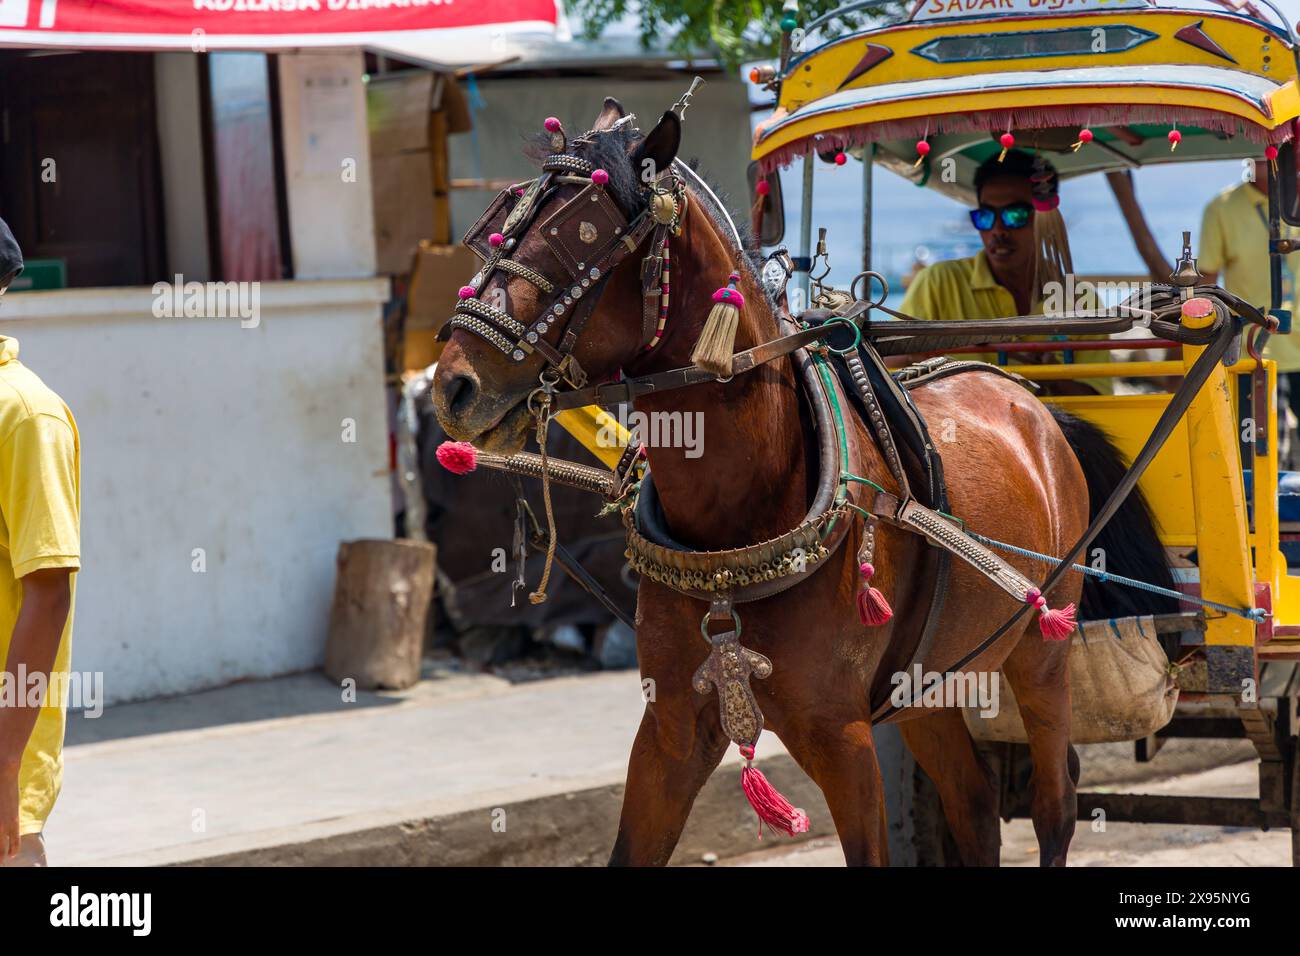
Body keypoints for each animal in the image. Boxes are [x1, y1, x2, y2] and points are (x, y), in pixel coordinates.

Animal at [432, 96, 1172, 866]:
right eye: (501, 221)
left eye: (580, 235)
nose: (453, 385)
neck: (736, 519)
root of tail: (1032, 403)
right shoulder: (670, 728)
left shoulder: (839, 736)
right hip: (927, 682)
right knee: (973, 805)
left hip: (1041, 651)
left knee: (1056, 803)